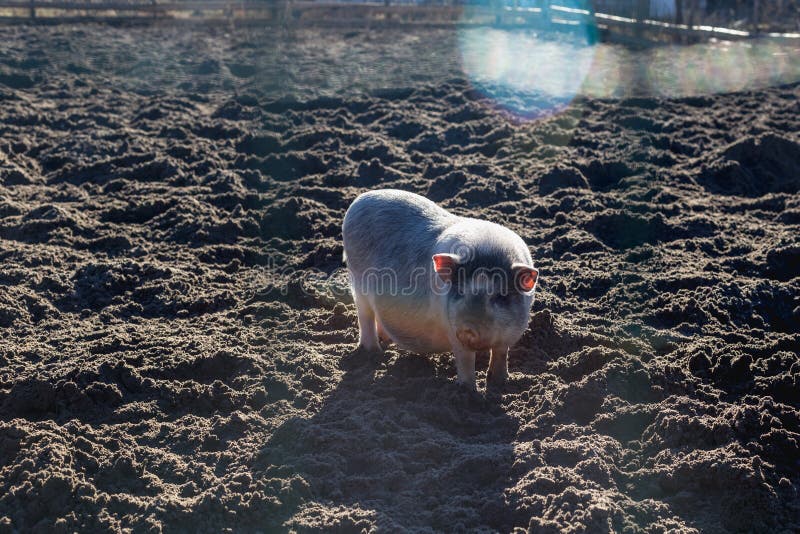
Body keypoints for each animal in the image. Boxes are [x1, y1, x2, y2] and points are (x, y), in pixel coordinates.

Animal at [342, 189, 539, 390]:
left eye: (501, 297)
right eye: (460, 292)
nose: (469, 328)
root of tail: (359, 200)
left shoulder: (507, 337)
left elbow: (500, 355)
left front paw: (501, 382)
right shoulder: (453, 332)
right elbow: (465, 361)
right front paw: (467, 390)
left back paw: (385, 341)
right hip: (358, 283)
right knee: (365, 316)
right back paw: (374, 351)